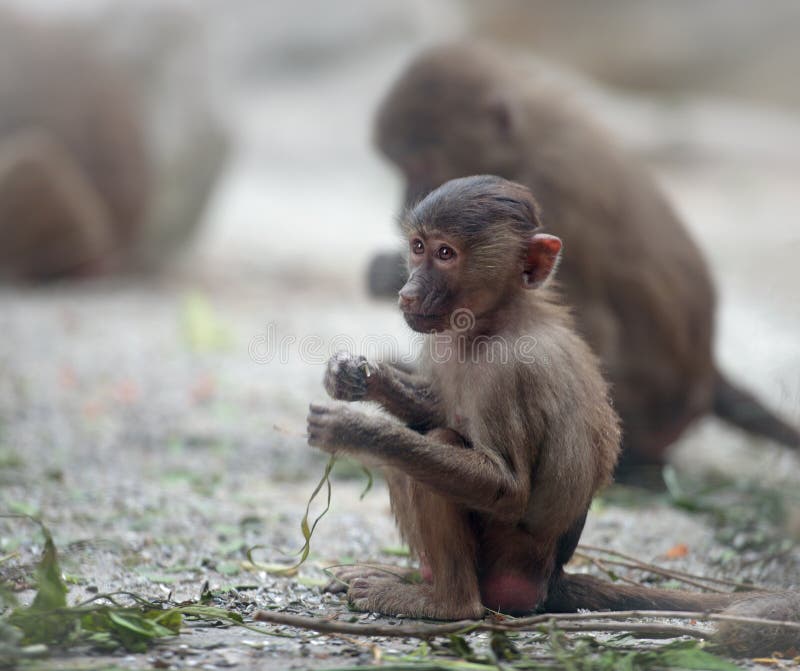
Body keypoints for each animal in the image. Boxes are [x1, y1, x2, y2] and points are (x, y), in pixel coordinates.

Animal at [308, 176, 799, 656]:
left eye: (445, 254)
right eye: (417, 247)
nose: (408, 292)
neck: (493, 320)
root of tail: (549, 578)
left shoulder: (508, 373)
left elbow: (506, 487)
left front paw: (357, 431)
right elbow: (434, 405)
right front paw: (354, 377)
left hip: (508, 564)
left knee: (433, 450)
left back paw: (445, 603)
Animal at [368, 43, 800, 484]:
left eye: (420, 166)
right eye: (401, 169)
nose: (406, 202)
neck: (527, 139)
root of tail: (706, 375)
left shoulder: (545, 197)